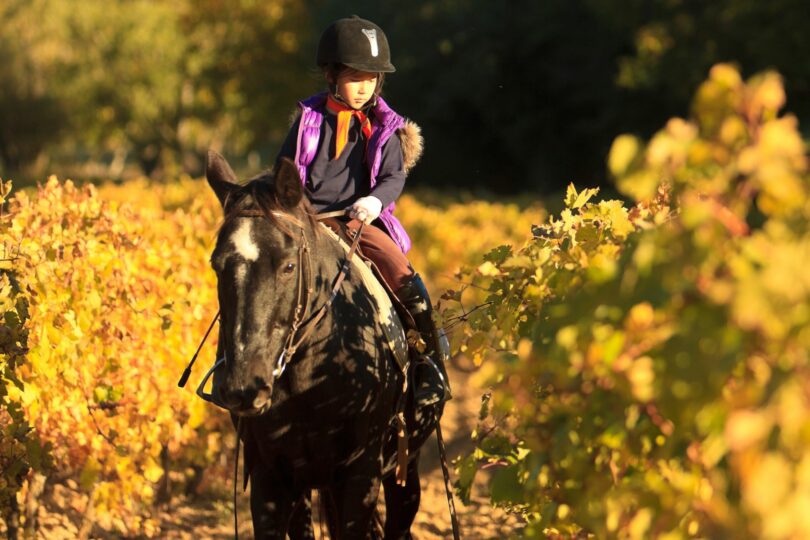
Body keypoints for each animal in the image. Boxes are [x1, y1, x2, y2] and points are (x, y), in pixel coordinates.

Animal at [204, 151, 442, 539]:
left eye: (288, 266)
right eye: (217, 265)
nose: (244, 386)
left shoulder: (361, 475)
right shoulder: (270, 476)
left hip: (405, 467)